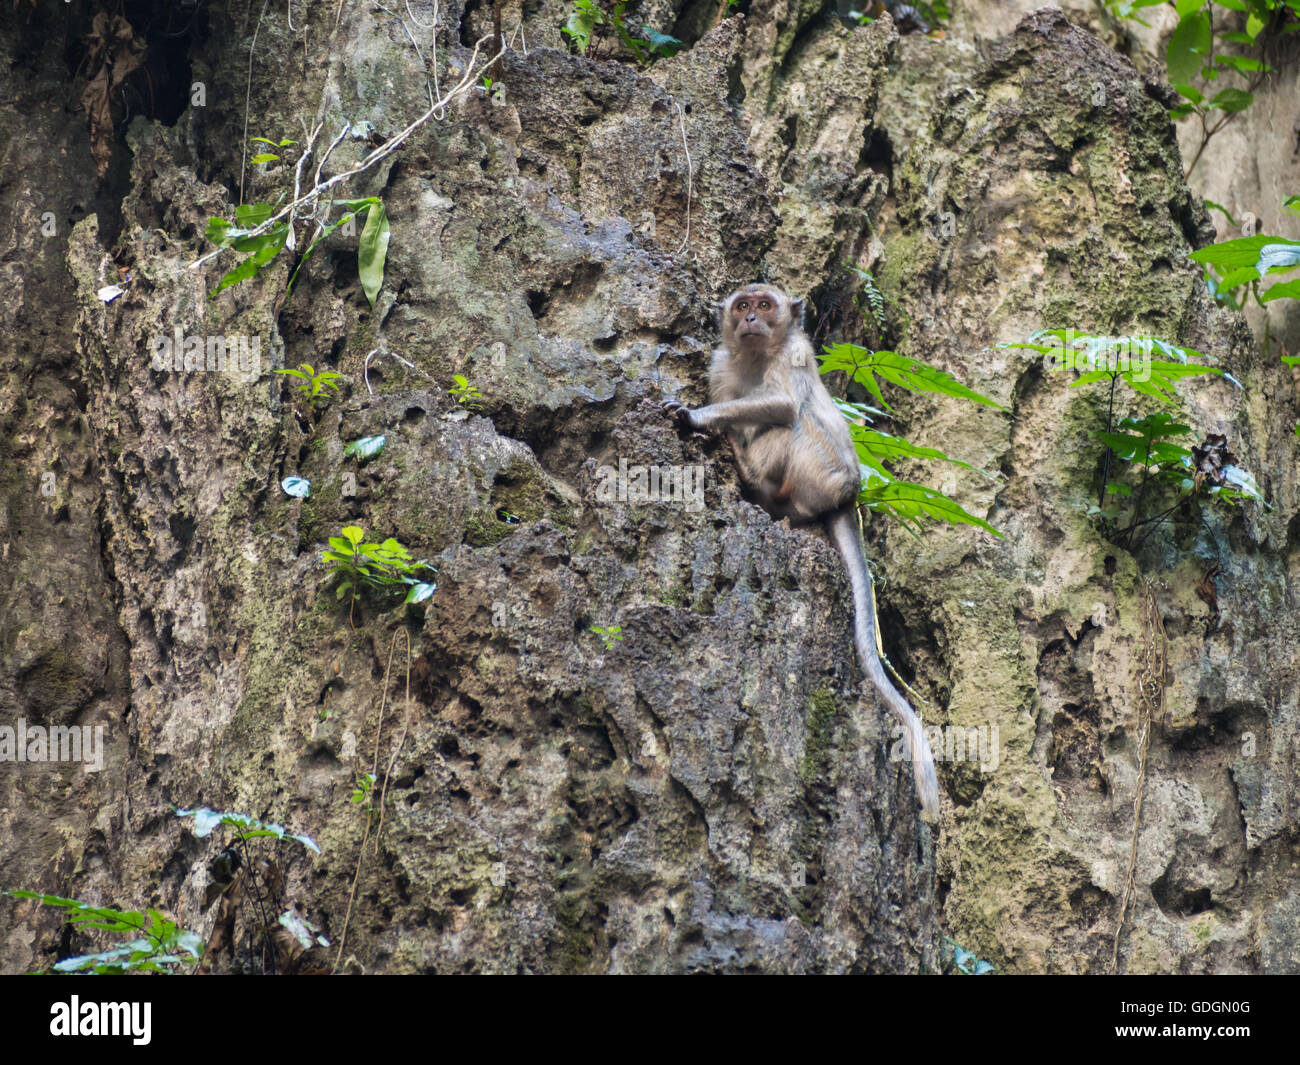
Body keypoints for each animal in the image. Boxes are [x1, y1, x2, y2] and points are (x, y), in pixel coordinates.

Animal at [663, 283, 940, 822]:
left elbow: (780, 401)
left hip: (818, 473)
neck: (756, 356)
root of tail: (847, 498)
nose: (750, 317)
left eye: (764, 305)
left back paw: (748, 467)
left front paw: (699, 417)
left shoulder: (793, 354)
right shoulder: (721, 365)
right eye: (742, 305)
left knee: (787, 420)